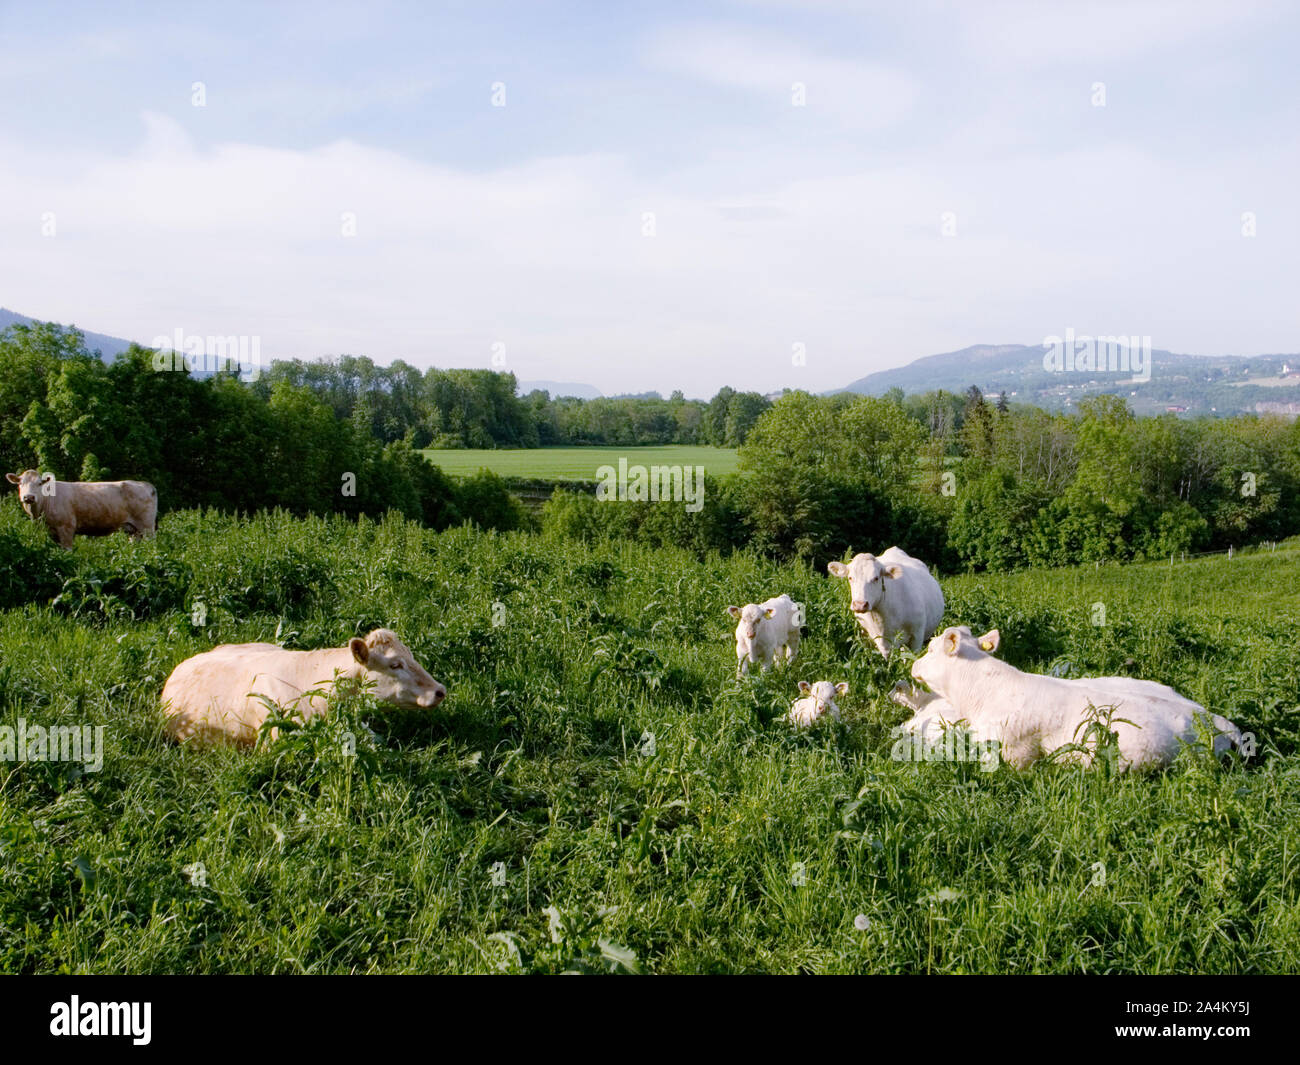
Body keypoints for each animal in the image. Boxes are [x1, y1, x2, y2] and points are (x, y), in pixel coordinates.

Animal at [5, 470, 157, 548]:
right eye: (20, 483)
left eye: (39, 483)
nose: (29, 497)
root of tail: (145, 484)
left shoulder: (66, 528)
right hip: (134, 531)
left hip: (147, 527)